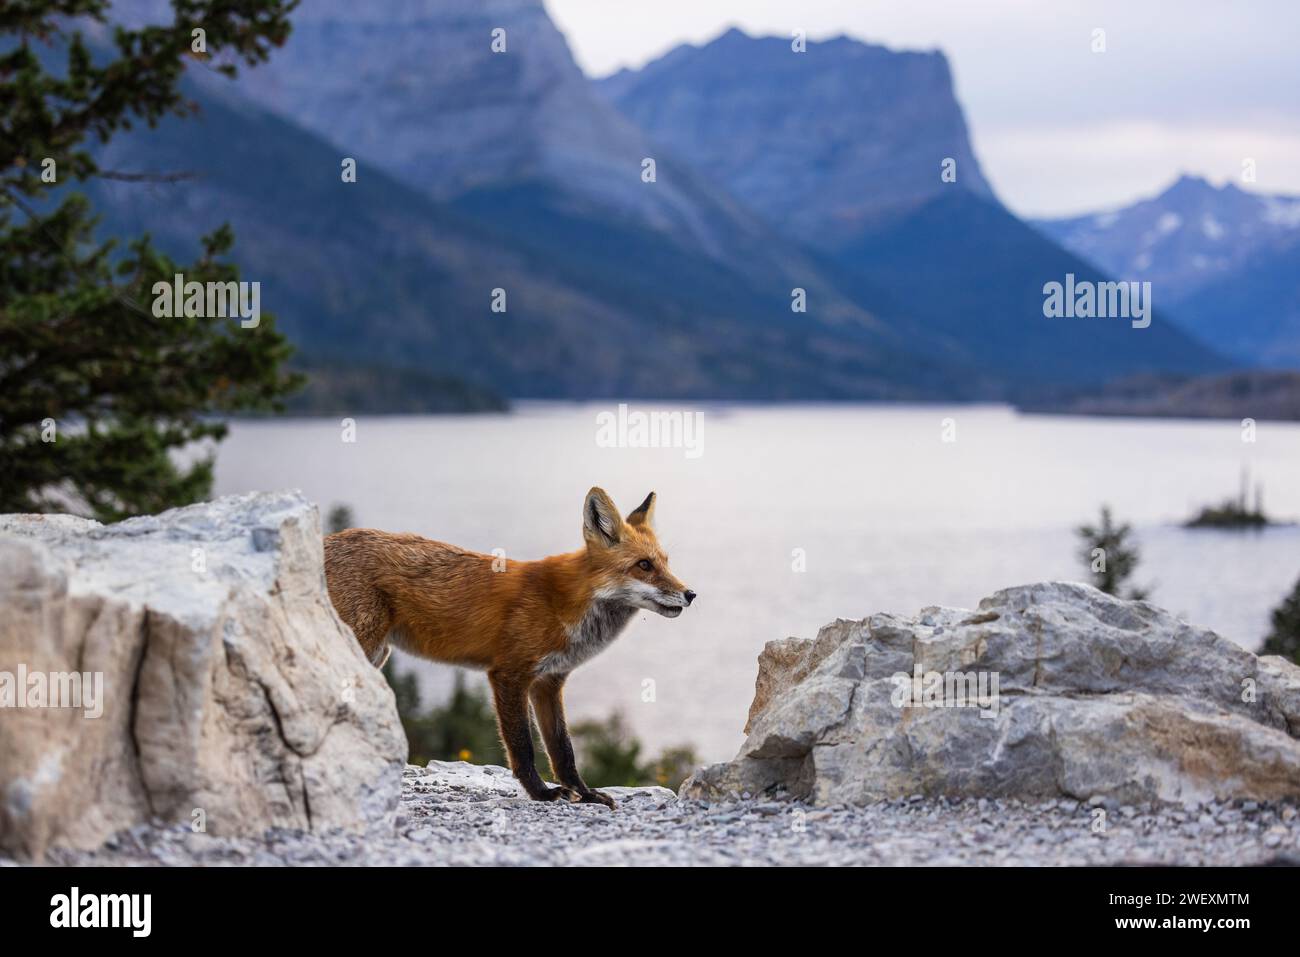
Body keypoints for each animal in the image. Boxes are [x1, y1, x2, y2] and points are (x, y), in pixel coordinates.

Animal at [323, 487, 695, 809]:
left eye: (665, 562)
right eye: (644, 565)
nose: (690, 594)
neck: (566, 603)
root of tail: (326, 540)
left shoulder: (549, 682)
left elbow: (563, 750)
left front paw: (586, 794)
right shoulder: (509, 674)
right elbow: (523, 746)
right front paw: (542, 794)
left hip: (375, 654)